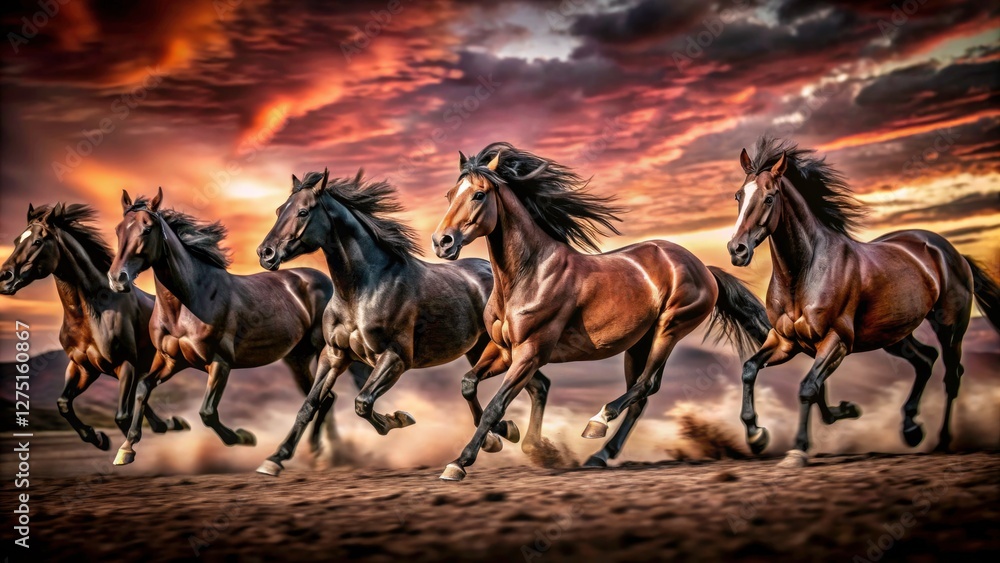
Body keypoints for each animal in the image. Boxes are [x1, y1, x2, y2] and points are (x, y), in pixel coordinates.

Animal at [0, 203, 189, 449]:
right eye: (16, 241)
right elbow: (63, 403)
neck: (91, 313)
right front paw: (98, 438)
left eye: (38, 241)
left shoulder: (126, 364)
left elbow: (122, 416)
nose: (5, 278)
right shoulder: (83, 367)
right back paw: (170, 424)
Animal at [107, 188, 370, 466]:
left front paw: (244, 437)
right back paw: (320, 450)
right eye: (118, 229)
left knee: (324, 398)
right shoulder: (171, 360)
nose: (117, 279)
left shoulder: (220, 363)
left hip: (325, 353)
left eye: (147, 229)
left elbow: (207, 412)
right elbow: (142, 389)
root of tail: (327, 282)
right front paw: (127, 448)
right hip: (297, 359)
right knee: (324, 399)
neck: (187, 302)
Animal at [254, 169, 553, 477]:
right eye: (279, 210)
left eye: (303, 212)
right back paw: (507, 438)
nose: (266, 253)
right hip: (483, 350)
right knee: (535, 385)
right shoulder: (334, 355)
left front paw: (398, 419)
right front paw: (274, 459)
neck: (363, 289)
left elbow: (362, 402)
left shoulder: (395, 358)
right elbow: (310, 405)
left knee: (533, 386)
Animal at [431, 142, 772, 481]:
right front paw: (503, 437)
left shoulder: (530, 353)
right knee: (641, 395)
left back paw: (599, 422)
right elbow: (468, 385)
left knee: (644, 385)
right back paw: (600, 454)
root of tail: (704, 268)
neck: (529, 274)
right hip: (639, 344)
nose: (442, 242)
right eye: (449, 194)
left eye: (479, 194)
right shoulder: (502, 350)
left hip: (670, 328)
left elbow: (496, 405)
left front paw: (459, 463)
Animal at [726, 136, 1000, 468]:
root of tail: (951, 252)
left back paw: (943, 440)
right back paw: (911, 429)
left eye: (769, 197)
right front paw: (756, 436)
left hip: (950, 326)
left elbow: (807, 388)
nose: (737, 249)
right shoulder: (784, 341)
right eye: (739, 195)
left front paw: (798, 449)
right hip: (894, 335)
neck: (803, 273)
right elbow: (750, 369)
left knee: (951, 375)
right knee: (925, 360)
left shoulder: (837, 341)